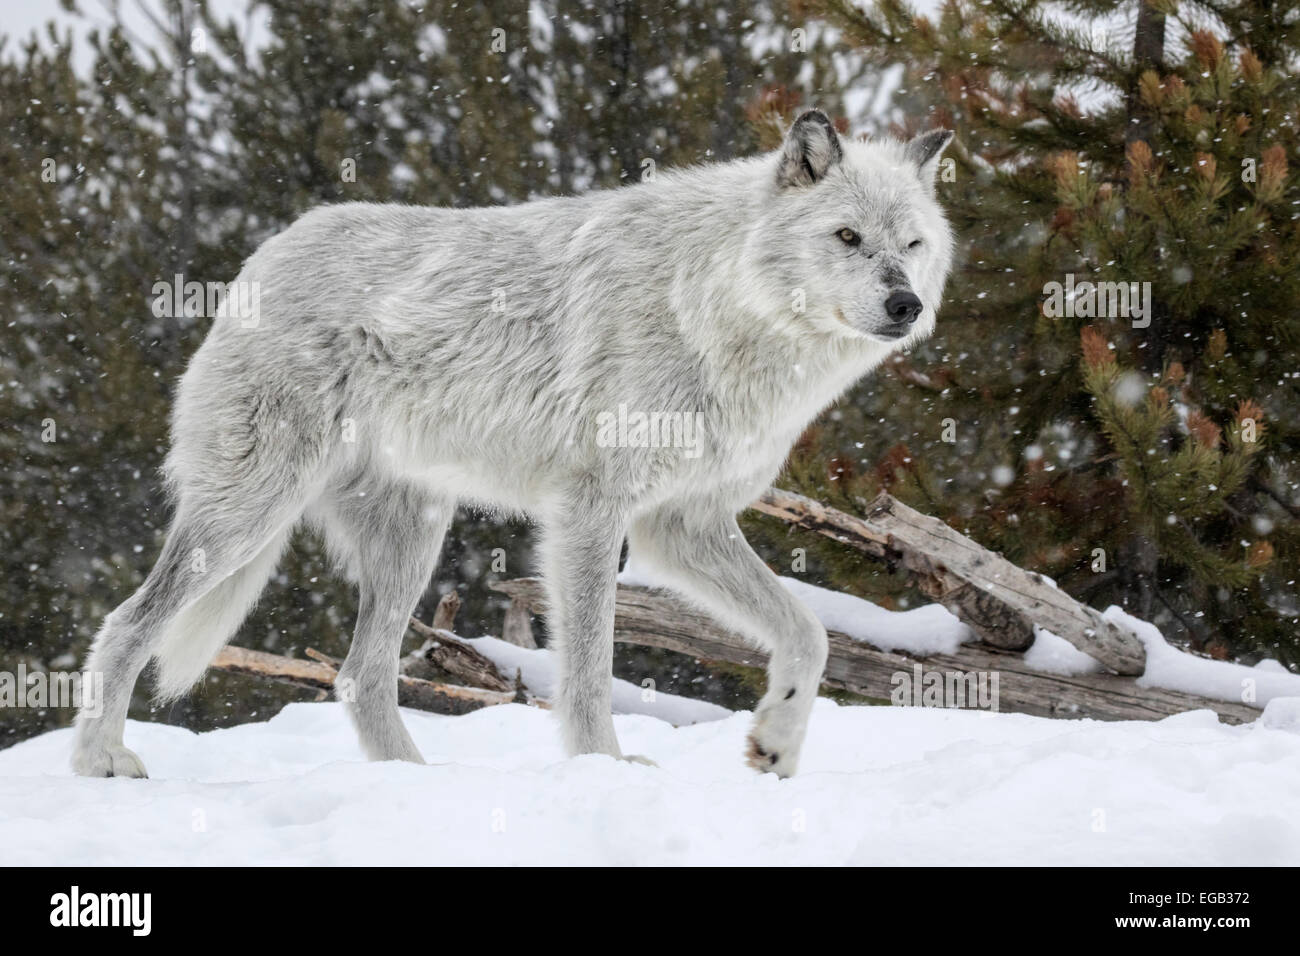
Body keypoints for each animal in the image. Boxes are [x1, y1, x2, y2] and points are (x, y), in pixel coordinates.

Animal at [72, 110, 954, 779]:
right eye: (847, 236)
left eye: (911, 245)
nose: (906, 305)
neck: (714, 307)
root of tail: (261, 256)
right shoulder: (590, 516)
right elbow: (590, 671)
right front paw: (605, 769)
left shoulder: (680, 527)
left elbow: (808, 632)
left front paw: (777, 744)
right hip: (247, 518)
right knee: (124, 626)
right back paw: (101, 762)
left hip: (410, 540)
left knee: (359, 677)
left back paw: (414, 786)